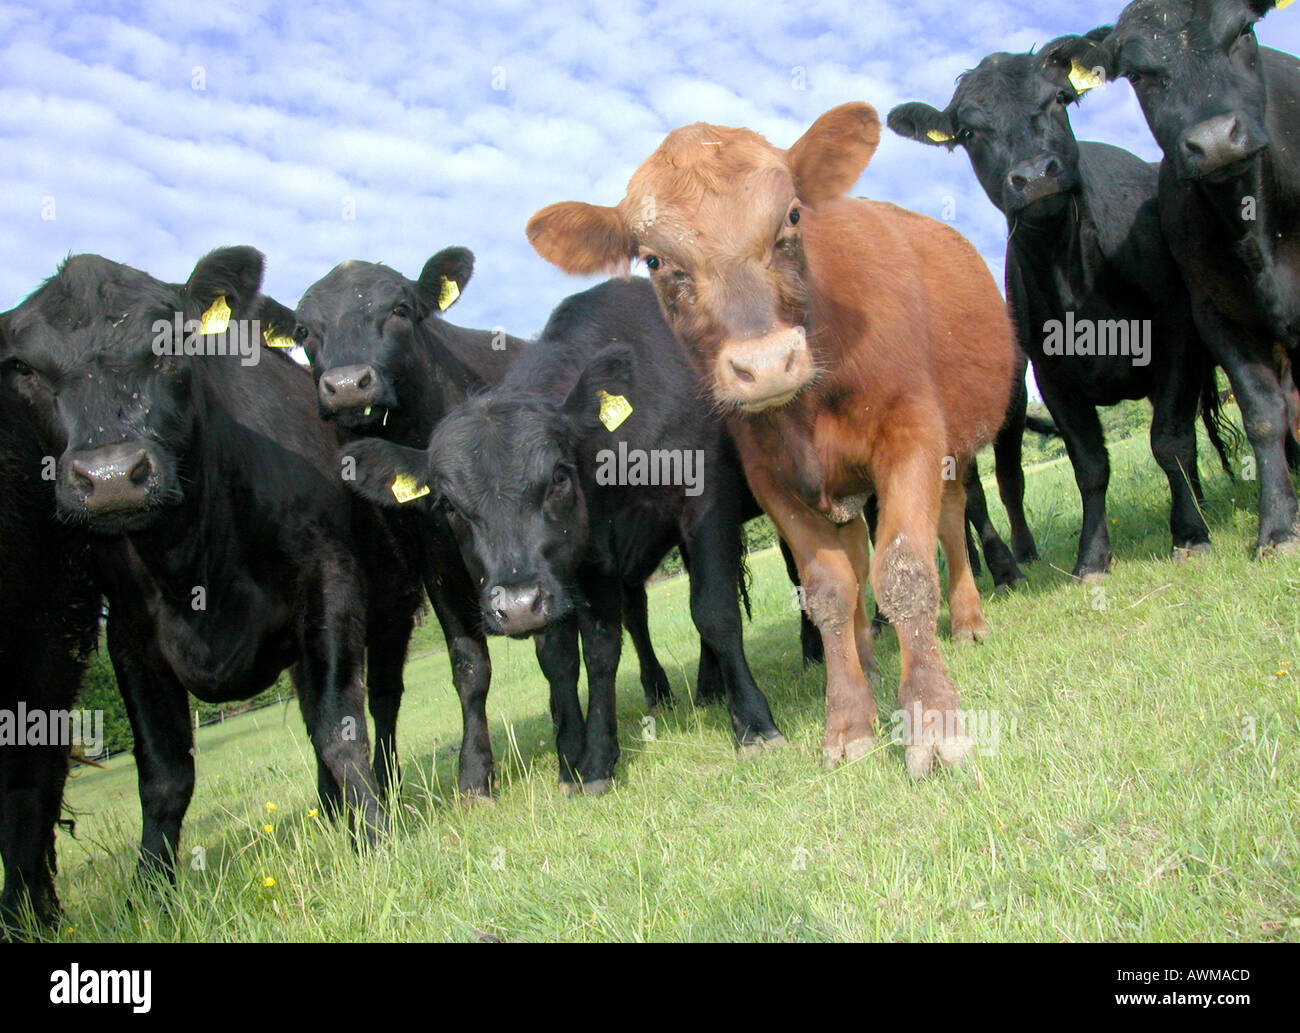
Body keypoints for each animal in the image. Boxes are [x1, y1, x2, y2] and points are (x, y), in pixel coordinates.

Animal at [0, 247, 417, 885]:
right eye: (23, 367)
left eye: (172, 342)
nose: (111, 475)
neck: (189, 558)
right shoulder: (129, 635)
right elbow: (164, 777)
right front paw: (151, 891)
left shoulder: (331, 580)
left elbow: (341, 729)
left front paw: (374, 842)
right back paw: (328, 812)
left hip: (392, 601)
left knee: (382, 701)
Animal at [339, 277, 786, 794]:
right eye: (448, 506)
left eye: (557, 476)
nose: (514, 606)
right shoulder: (581, 561)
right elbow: (582, 655)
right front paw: (586, 760)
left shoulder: (706, 503)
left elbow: (713, 611)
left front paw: (754, 723)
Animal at [526, 103, 1019, 777]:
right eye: (654, 260)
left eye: (791, 216)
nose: (765, 364)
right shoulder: (773, 477)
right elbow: (829, 591)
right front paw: (849, 722)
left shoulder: (912, 435)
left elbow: (906, 569)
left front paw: (933, 722)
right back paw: (867, 660)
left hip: (956, 448)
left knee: (949, 521)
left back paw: (967, 619)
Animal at [888, 48, 1232, 579]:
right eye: (968, 131)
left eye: (1058, 98)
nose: (1033, 176)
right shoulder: (1052, 377)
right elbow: (1088, 464)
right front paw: (1092, 556)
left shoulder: (1175, 335)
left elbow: (1170, 441)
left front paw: (1190, 533)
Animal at [1047, 1, 1300, 555]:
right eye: (1141, 74)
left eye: (1242, 32)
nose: (1215, 140)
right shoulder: (1215, 315)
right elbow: (1263, 413)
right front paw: (1277, 527)